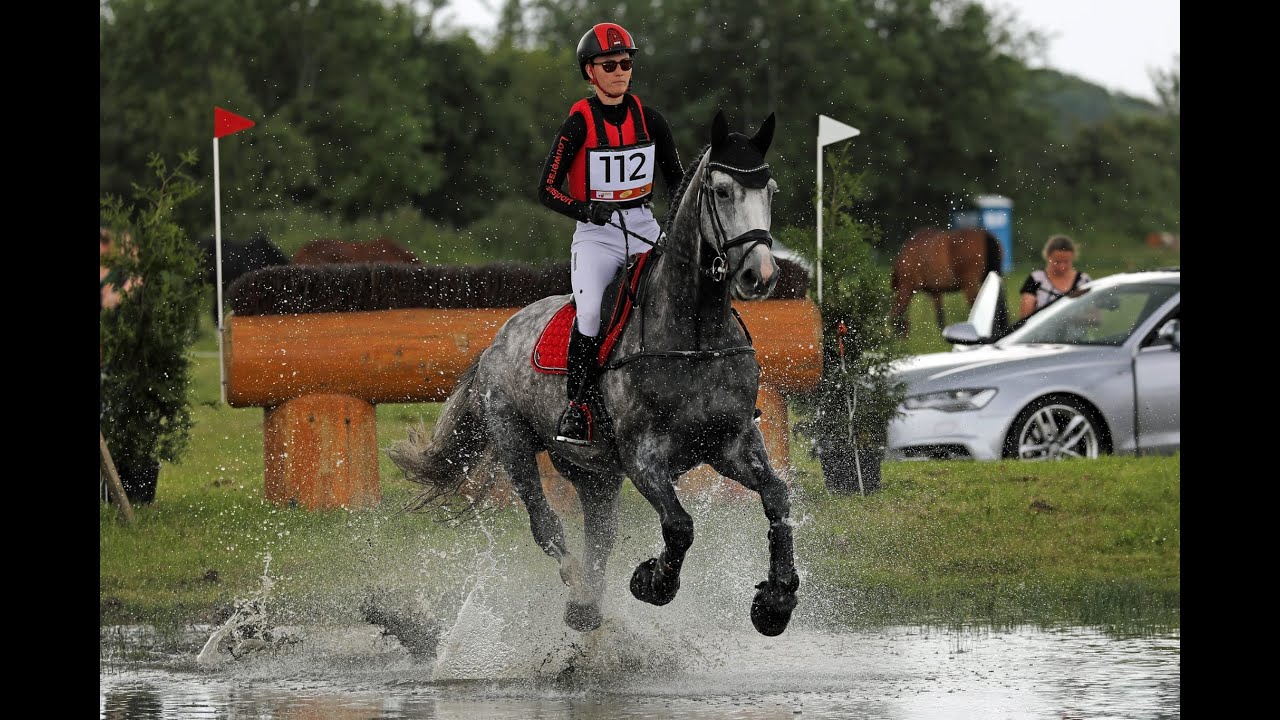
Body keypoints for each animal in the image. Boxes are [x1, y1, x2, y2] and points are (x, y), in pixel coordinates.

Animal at [389, 110, 800, 637]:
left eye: (770, 190)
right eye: (723, 191)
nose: (760, 275)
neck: (696, 335)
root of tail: (496, 342)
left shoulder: (731, 443)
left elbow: (777, 497)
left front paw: (776, 602)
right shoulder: (645, 457)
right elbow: (680, 525)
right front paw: (653, 583)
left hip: (593, 472)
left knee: (600, 535)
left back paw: (587, 607)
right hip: (515, 441)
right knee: (546, 525)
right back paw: (580, 592)